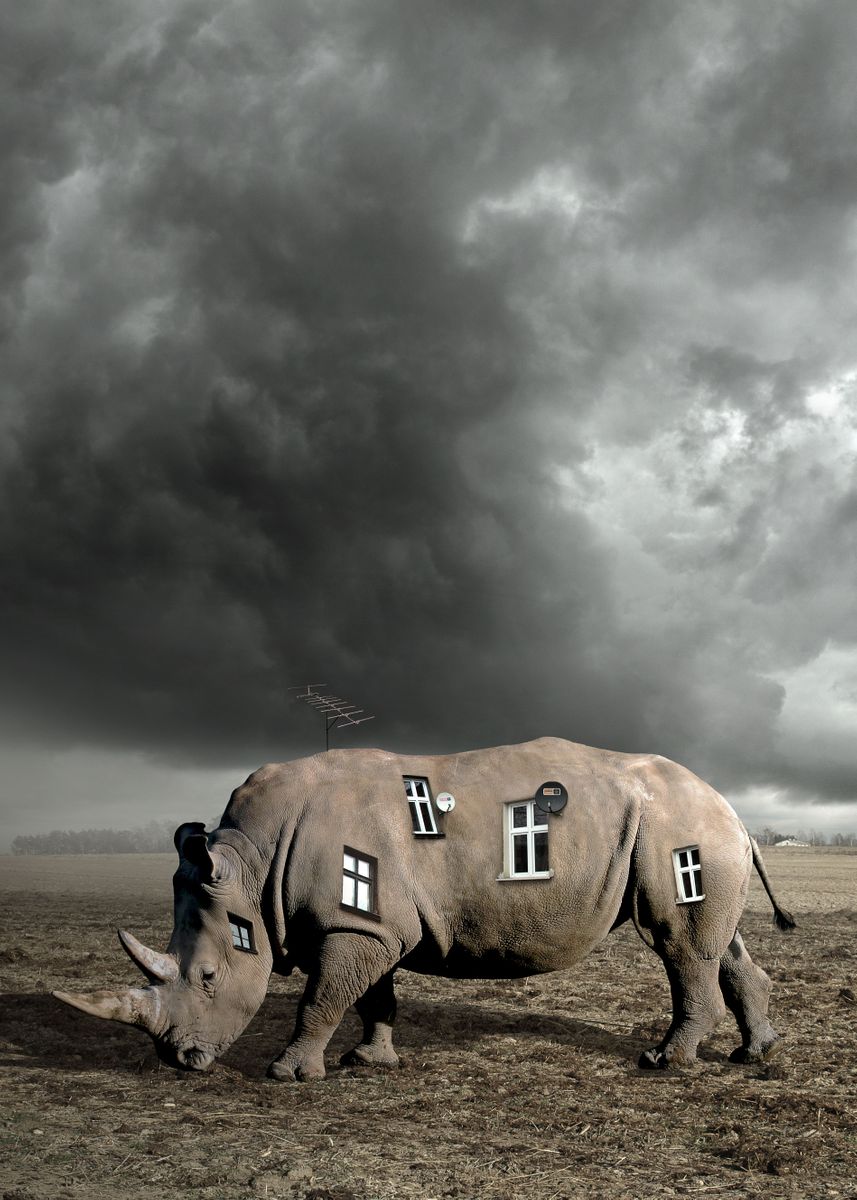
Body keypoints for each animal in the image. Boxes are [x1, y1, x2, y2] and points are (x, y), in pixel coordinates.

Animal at [54, 737, 794, 1076]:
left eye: (208, 978)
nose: (181, 1061)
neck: (249, 862)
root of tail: (732, 810)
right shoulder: (370, 922)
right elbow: (371, 994)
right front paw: (368, 1061)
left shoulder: (353, 925)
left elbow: (321, 997)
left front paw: (288, 1073)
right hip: (694, 834)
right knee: (717, 944)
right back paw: (750, 1054)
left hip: (677, 834)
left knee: (678, 944)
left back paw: (662, 1062)